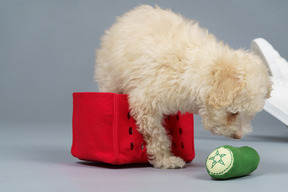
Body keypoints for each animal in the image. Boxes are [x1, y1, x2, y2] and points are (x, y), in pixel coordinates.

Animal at [95, 5, 272, 169]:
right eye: (233, 113)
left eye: (249, 116)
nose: (238, 136)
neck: (198, 70)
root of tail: (129, 15)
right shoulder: (146, 101)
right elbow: (156, 134)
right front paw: (165, 159)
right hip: (109, 75)